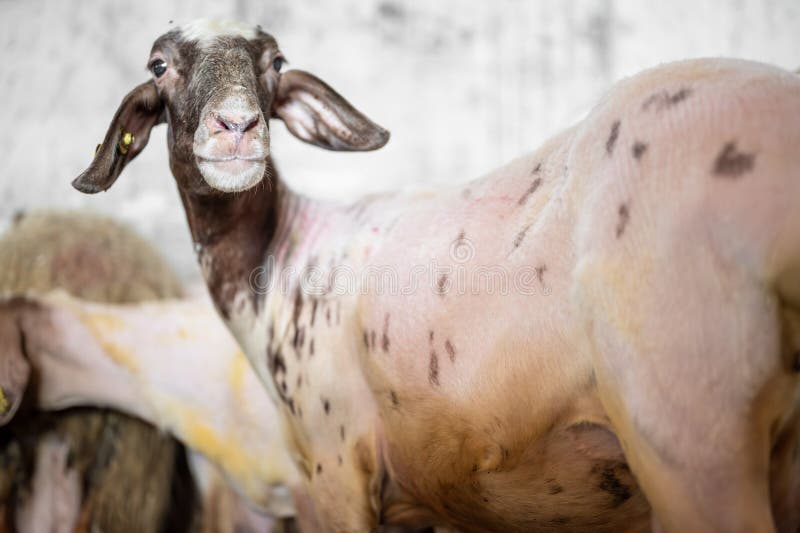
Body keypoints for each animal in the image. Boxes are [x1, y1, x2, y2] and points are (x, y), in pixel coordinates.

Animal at [71, 19, 800, 532]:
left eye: (274, 63)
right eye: (160, 66)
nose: (237, 127)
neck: (281, 257)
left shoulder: (336, 470)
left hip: (689, 426)